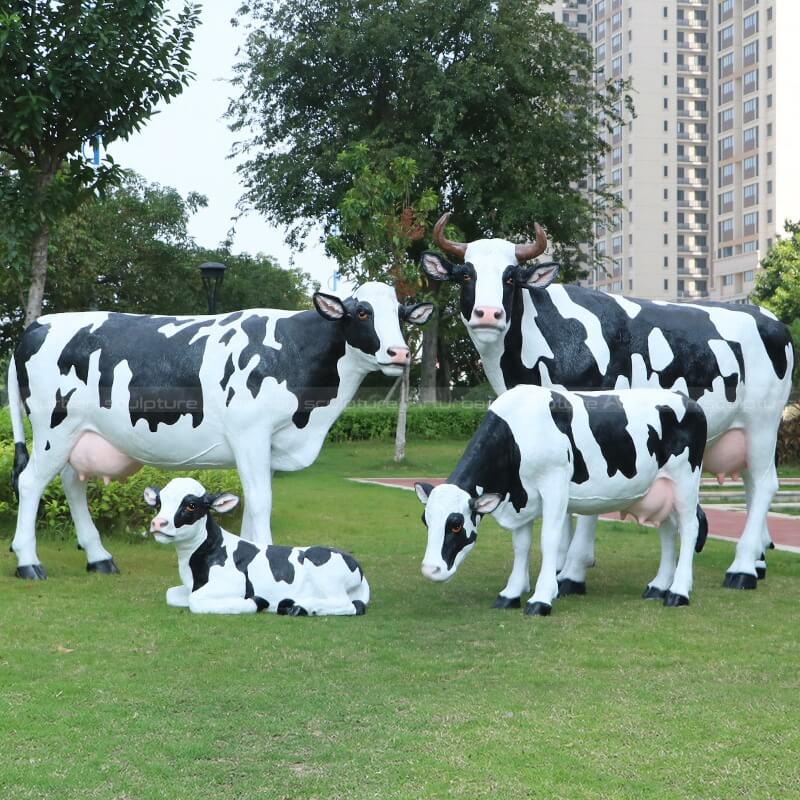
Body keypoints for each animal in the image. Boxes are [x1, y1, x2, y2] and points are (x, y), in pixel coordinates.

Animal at [8, 282, 433, 579]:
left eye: (401, 314)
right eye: (361, 312)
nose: (399, 353)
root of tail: (38, 324)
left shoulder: (267, 446)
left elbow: (251, 506)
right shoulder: (250, 433)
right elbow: (261, 503)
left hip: (76, 434)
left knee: (70, 483)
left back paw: (99, 557)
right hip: (53, 426)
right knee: (30, 482)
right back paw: (28, 562)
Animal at [144, 477, 369, 615]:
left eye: (191, 505)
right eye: (159, 504)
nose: (158, 523)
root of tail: (356, 565)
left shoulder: (234, 583)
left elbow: (195, 601)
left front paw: (255, 603)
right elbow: (171, 594)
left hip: (327, 577)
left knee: (346, 604)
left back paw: (299, 608)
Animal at [414, 385, 709, 616]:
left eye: (455, 524)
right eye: (425, 521)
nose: (430, 569)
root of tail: (685, 398)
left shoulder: (554, 484)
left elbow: (549, 541)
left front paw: (541, 599)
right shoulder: (520, 497)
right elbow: (521, 546)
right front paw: (510, 594)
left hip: (686, 479)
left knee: (689, 528)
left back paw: (678, 593)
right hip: (661, 488)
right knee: (668, 531)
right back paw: (658, 587)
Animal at [420, 213, 794, 591]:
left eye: (510, 276)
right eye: (466, 274)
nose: (487, 313)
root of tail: (770, 318)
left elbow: (585, 500)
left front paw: (572, 571)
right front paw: (557, 567)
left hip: (763, 421)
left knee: (764, 484)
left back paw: (741, 570)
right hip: (741, 432)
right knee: (751, 485)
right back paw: (757, 560)